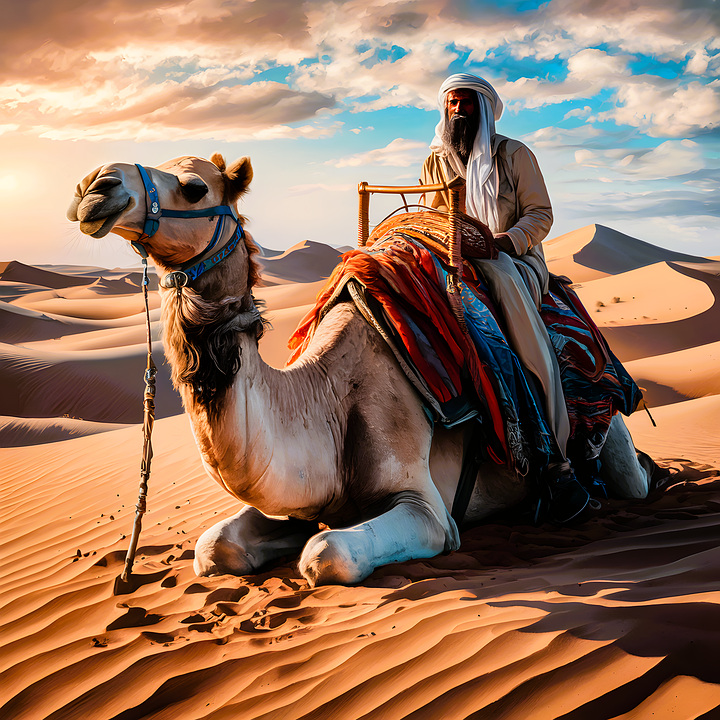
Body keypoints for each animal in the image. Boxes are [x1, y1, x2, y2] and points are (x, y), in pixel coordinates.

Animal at [68, 154, 651, 587]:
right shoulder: (307, 501)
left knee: (630, 477)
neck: (326, 399)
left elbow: (324, 553)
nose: (95, 185)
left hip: (607, 438)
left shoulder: (429, 512)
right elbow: (216, 547)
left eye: (193, 188)